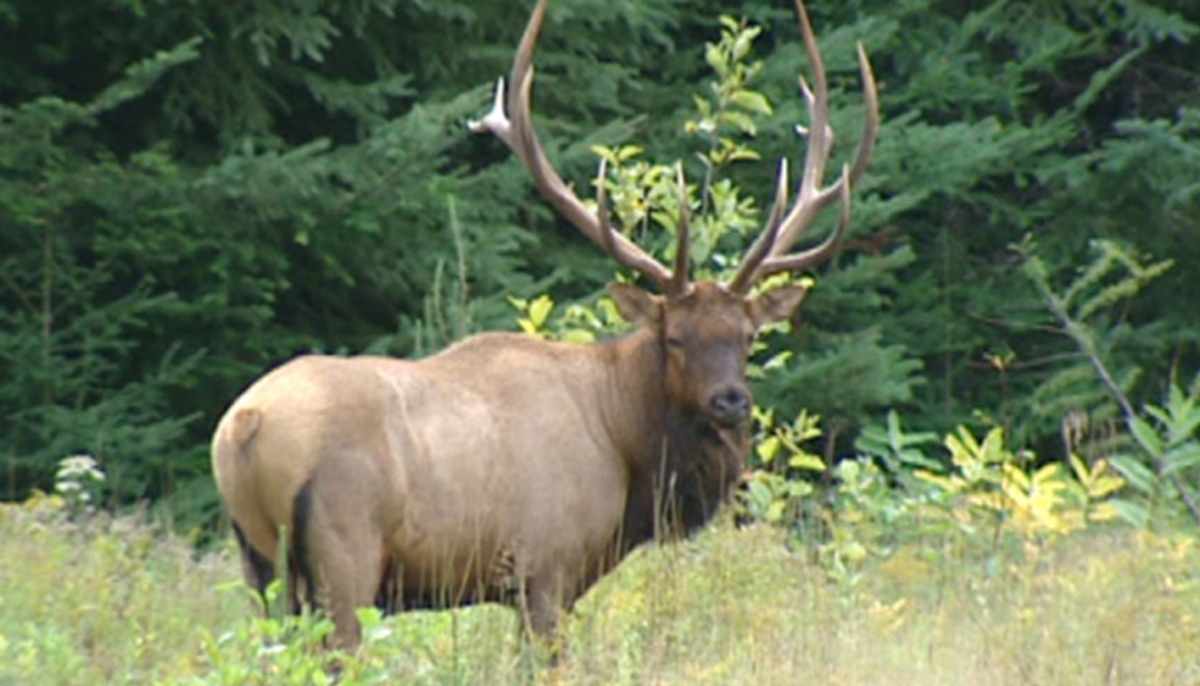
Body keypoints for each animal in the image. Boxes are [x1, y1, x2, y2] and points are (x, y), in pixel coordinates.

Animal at [210, 0, 878, 652]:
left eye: (747, 336)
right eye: (674, 338)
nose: (730, 401)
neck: (626, 447)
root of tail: (243, 426)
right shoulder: (546, 567)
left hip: (260, 564)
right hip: (344, 554)